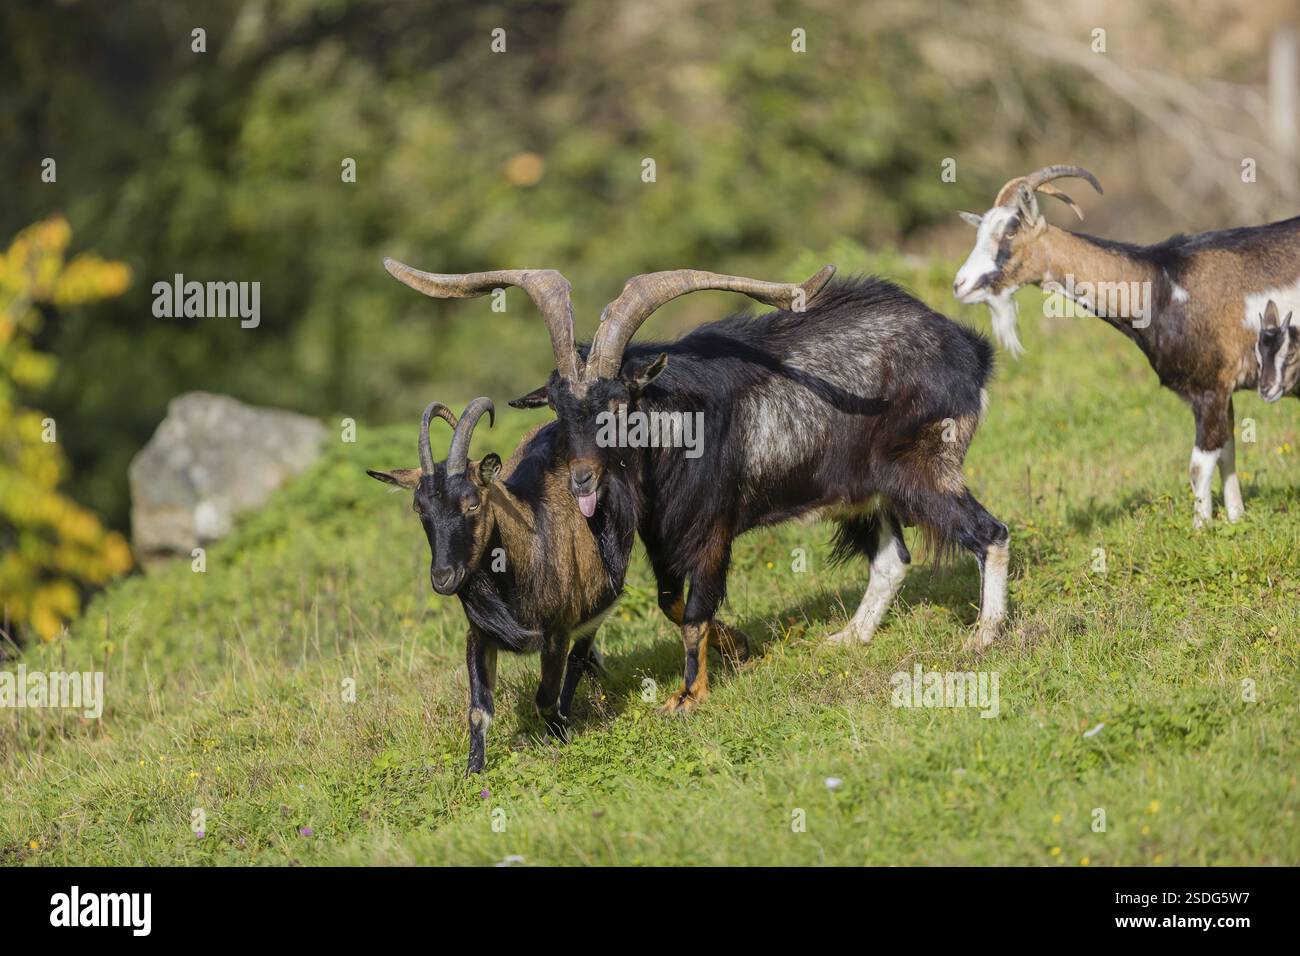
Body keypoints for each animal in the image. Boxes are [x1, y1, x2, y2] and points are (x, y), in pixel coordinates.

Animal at [367, 396, 620, 773]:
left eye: (473, 502)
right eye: (419, 508)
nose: (443, 577)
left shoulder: (557, 631)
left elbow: (545, 698)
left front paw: (561, 734)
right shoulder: (479, 635)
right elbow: (478, 711)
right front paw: (473, 770)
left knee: (580, 653)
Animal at [384, 259, 1011, 715]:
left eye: (618, 404)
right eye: (559, 406)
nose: (583, 478)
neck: (674, 428)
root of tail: (967, 349)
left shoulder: (711, 531)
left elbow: (693, 613)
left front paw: (688, 696)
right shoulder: (663, 537)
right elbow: (672, 603)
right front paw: (740, 646)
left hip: (923, 467)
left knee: (989, 532)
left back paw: (982, 637)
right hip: (866, 489)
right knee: (892, 559)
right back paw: (848, 639)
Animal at [953, 163, 1300, 527]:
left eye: (1009, 232)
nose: (960, 285)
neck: (1161, 283)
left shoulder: (1211, 388)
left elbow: (1199, 466)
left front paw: (1201, 528)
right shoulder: (1219, 392)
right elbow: (1227, 453)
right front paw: (1235, 518)